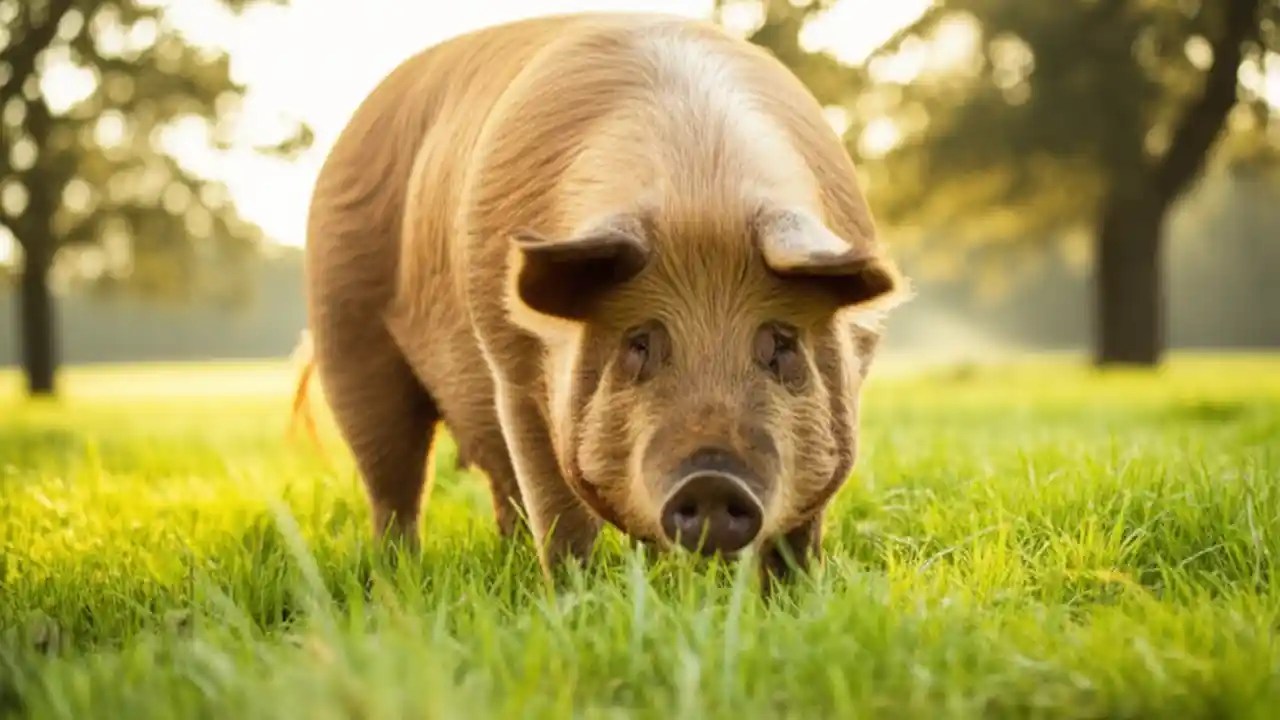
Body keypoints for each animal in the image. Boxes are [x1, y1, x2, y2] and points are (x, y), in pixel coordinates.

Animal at [300, 11, 909, 582]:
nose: (712, 480)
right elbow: (560, 512)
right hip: (347, 335)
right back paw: (395, 573)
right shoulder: (512, 370)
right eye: (639, 343)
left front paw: (787, 599)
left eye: (781, 344)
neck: (699, 186)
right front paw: (575, 597)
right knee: (395, 483)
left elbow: (798, 536)